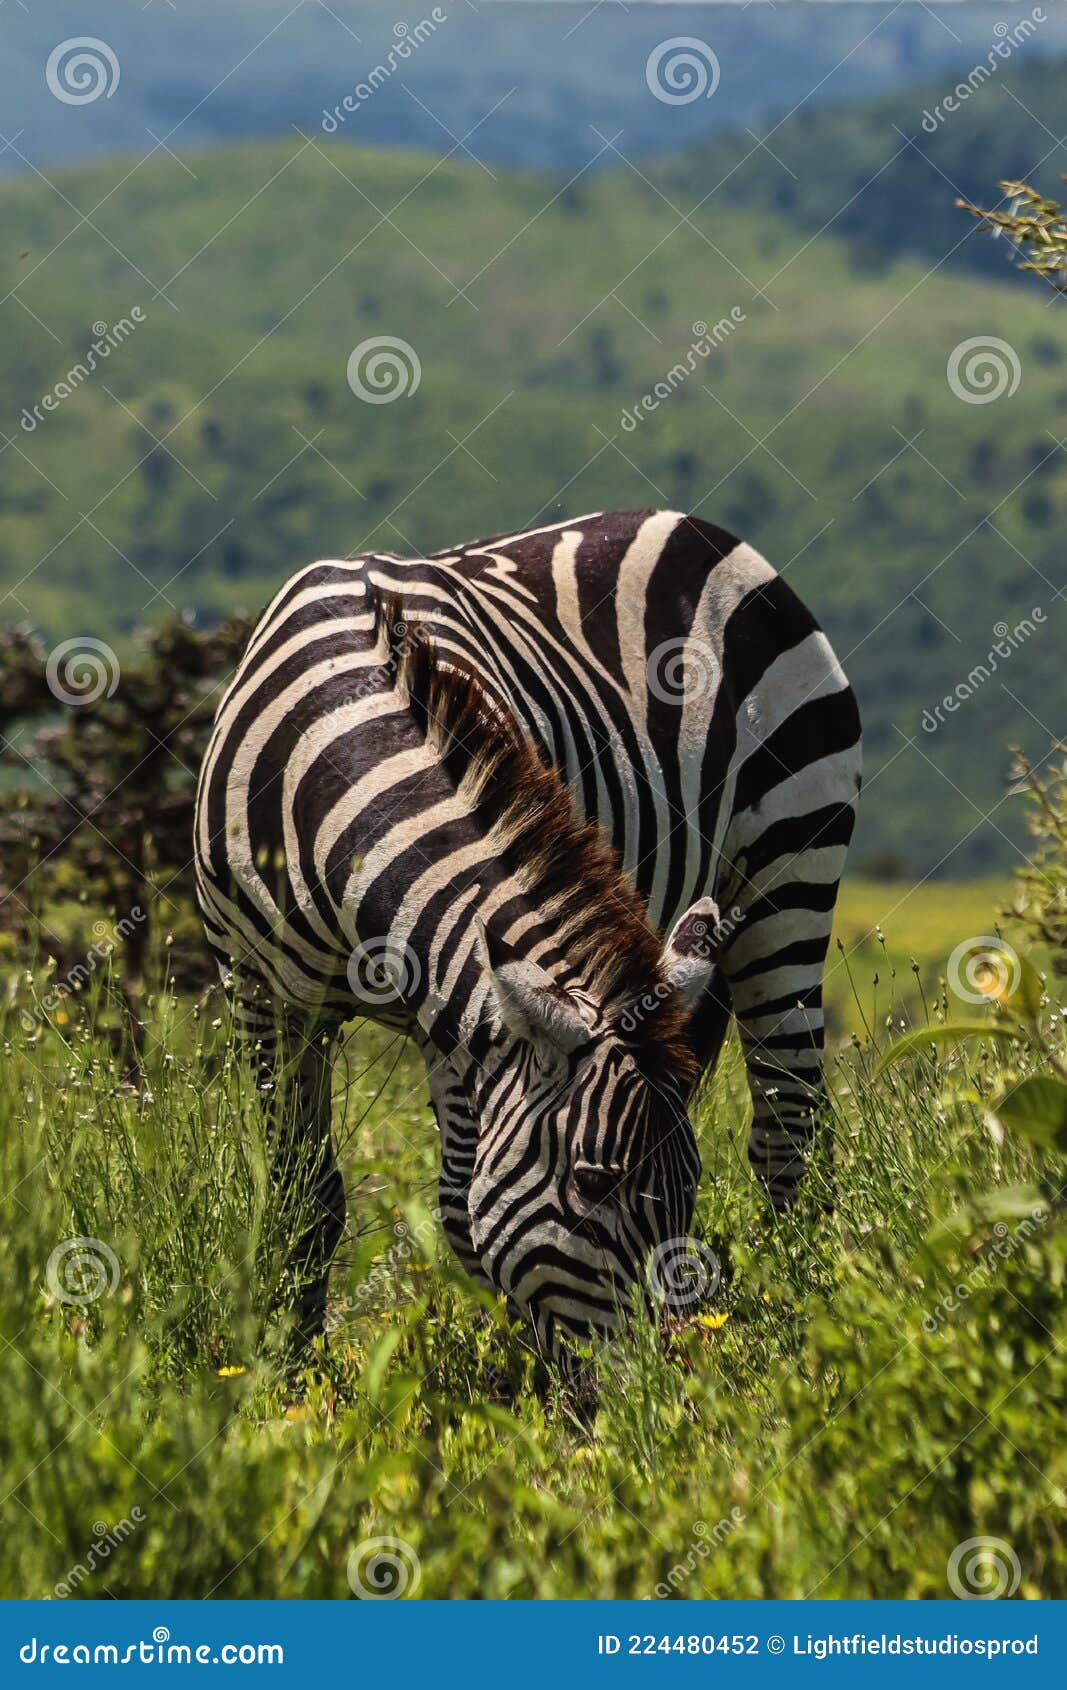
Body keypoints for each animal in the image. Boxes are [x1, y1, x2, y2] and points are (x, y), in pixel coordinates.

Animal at [194, 508, 861, 1366]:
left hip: (794, 861)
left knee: (789, 1128)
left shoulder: (453, 1013)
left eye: (686, 1185)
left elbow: (463, 1207)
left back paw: (801, 1315)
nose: (655, 1377)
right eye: (593, 1181)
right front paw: (287, 1371)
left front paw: (526, 1380)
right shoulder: (261, 997)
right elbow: (306, 1196)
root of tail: (688, 523)